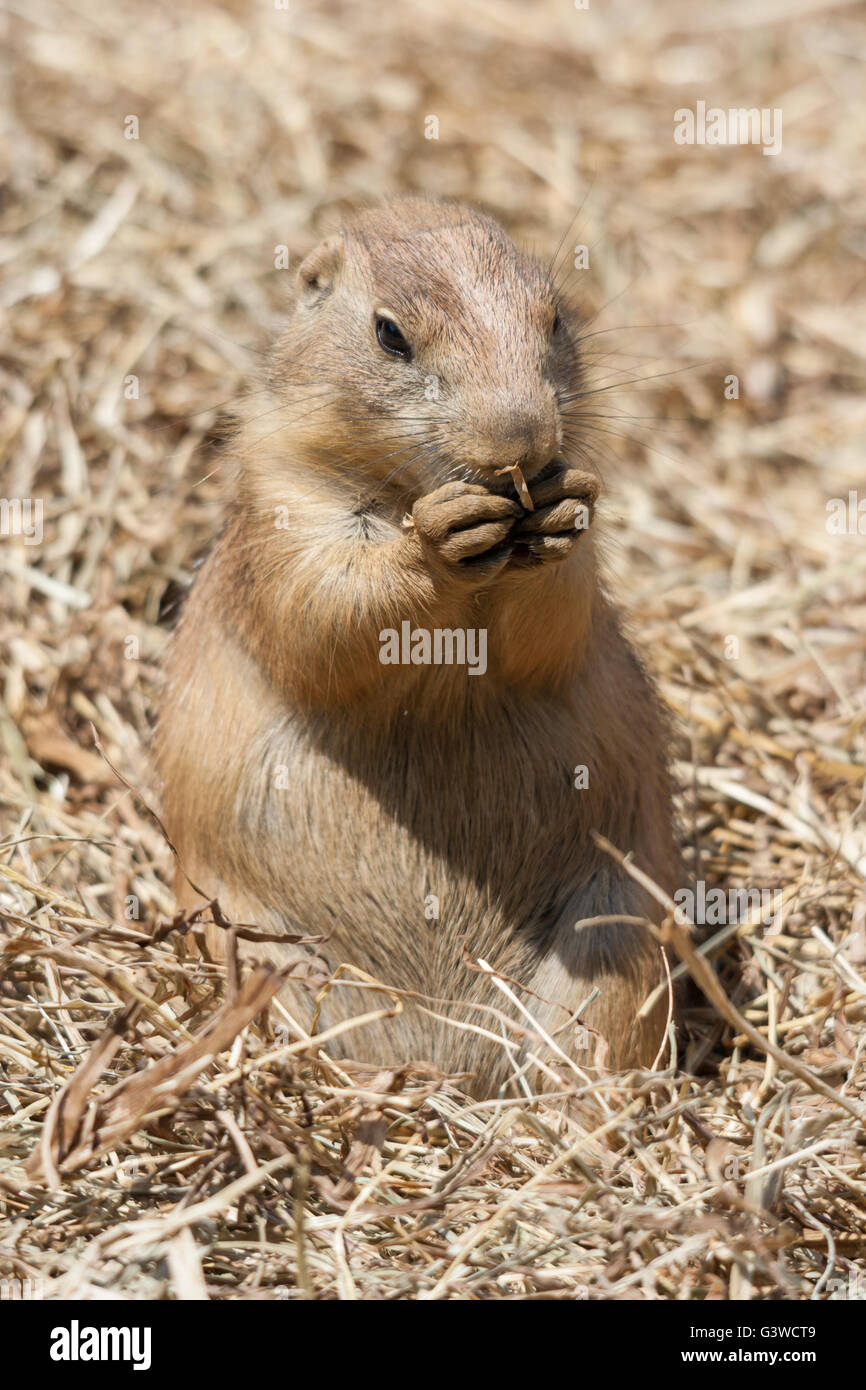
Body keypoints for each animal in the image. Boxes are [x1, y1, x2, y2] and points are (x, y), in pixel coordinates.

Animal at [155, 197, 680, 1094]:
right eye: (389, 334)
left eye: (555, 318)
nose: (521, 441)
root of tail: (444, 1056)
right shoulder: (281, 500)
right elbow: (323, 600)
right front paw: (440, 537)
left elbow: (559, 624)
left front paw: (559, 511)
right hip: (248, 937)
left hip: (615, 930)